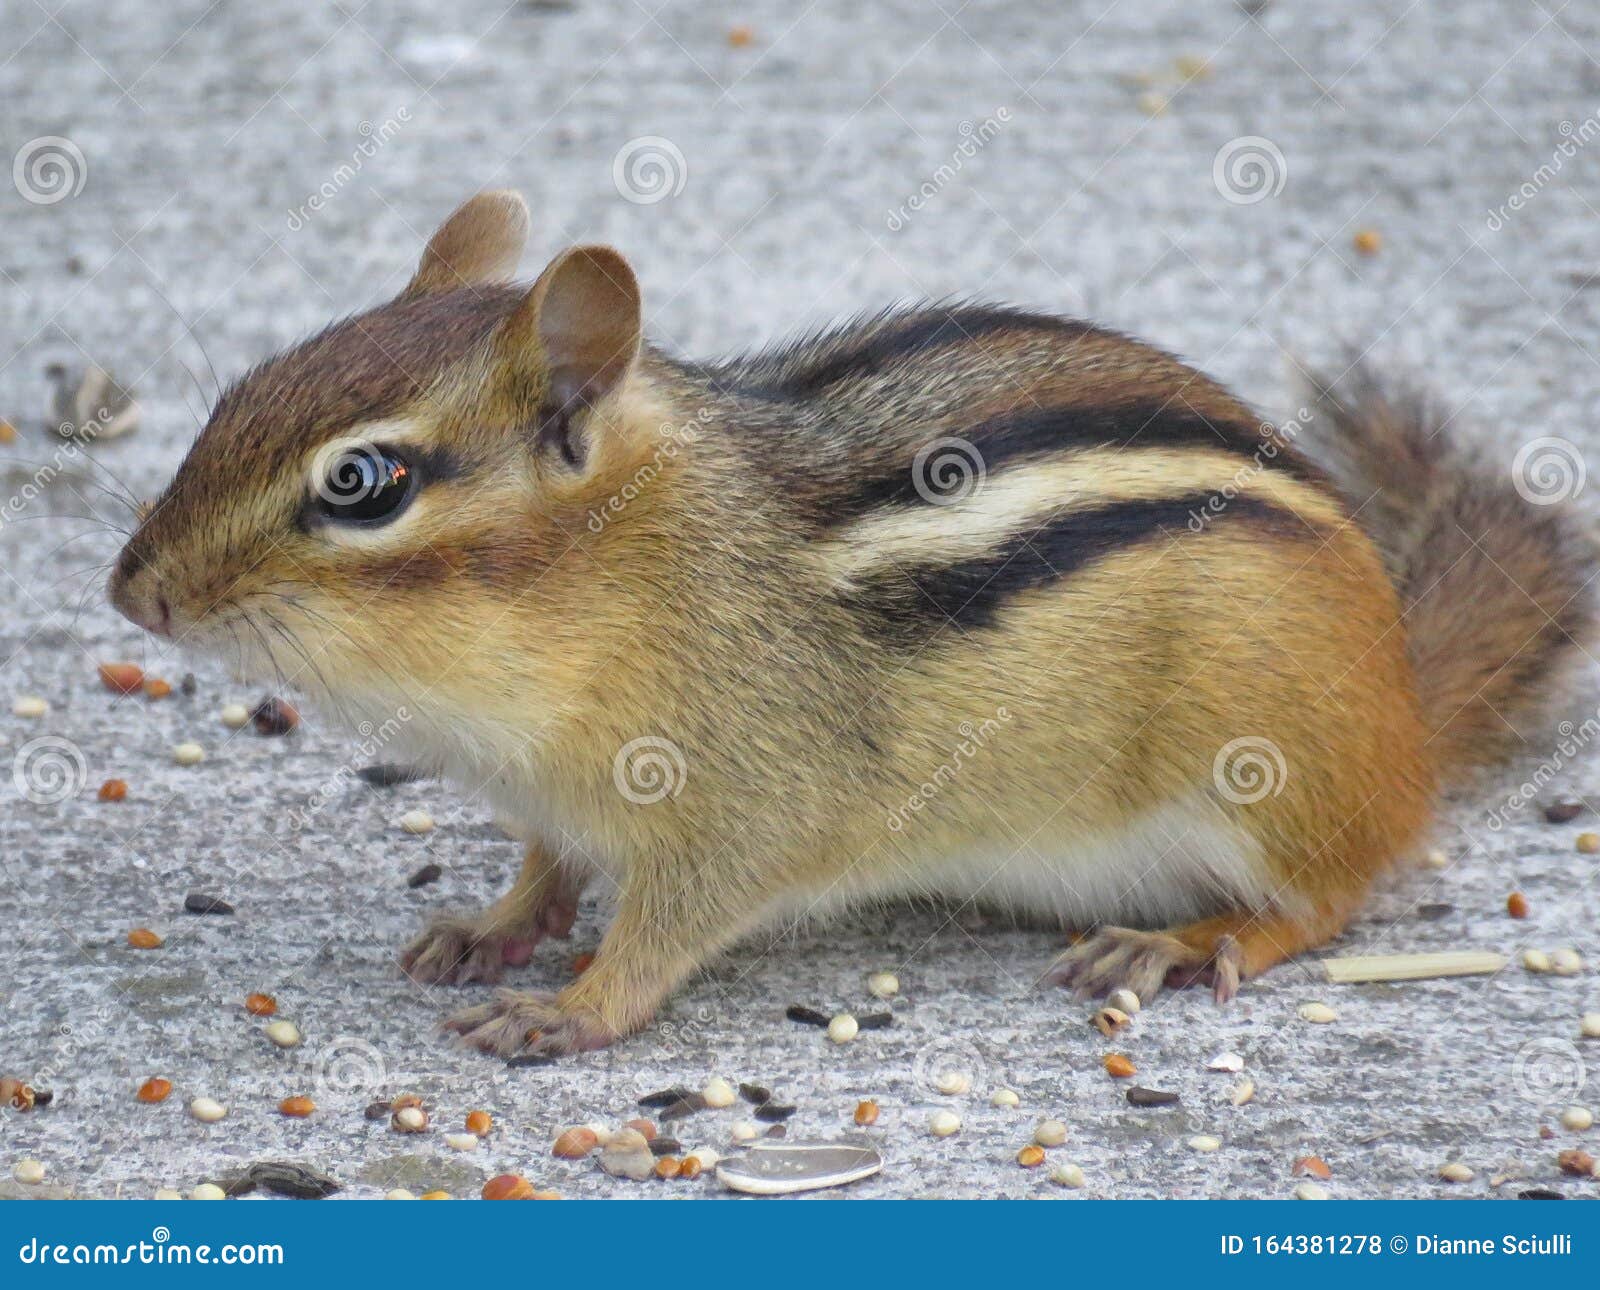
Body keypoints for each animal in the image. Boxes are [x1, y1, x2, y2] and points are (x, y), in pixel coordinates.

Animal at [109, 191, 1595, 1058]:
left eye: (363, 482)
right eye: (241, 389)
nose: (133, 591)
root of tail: (1403, 704)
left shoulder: (742, 800)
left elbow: (667, 929)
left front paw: (568, 1006)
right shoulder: (554, 796)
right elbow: (546, 865)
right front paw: (493, 925)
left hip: (1266, 763)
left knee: (1334, 893)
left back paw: (1186, 941)